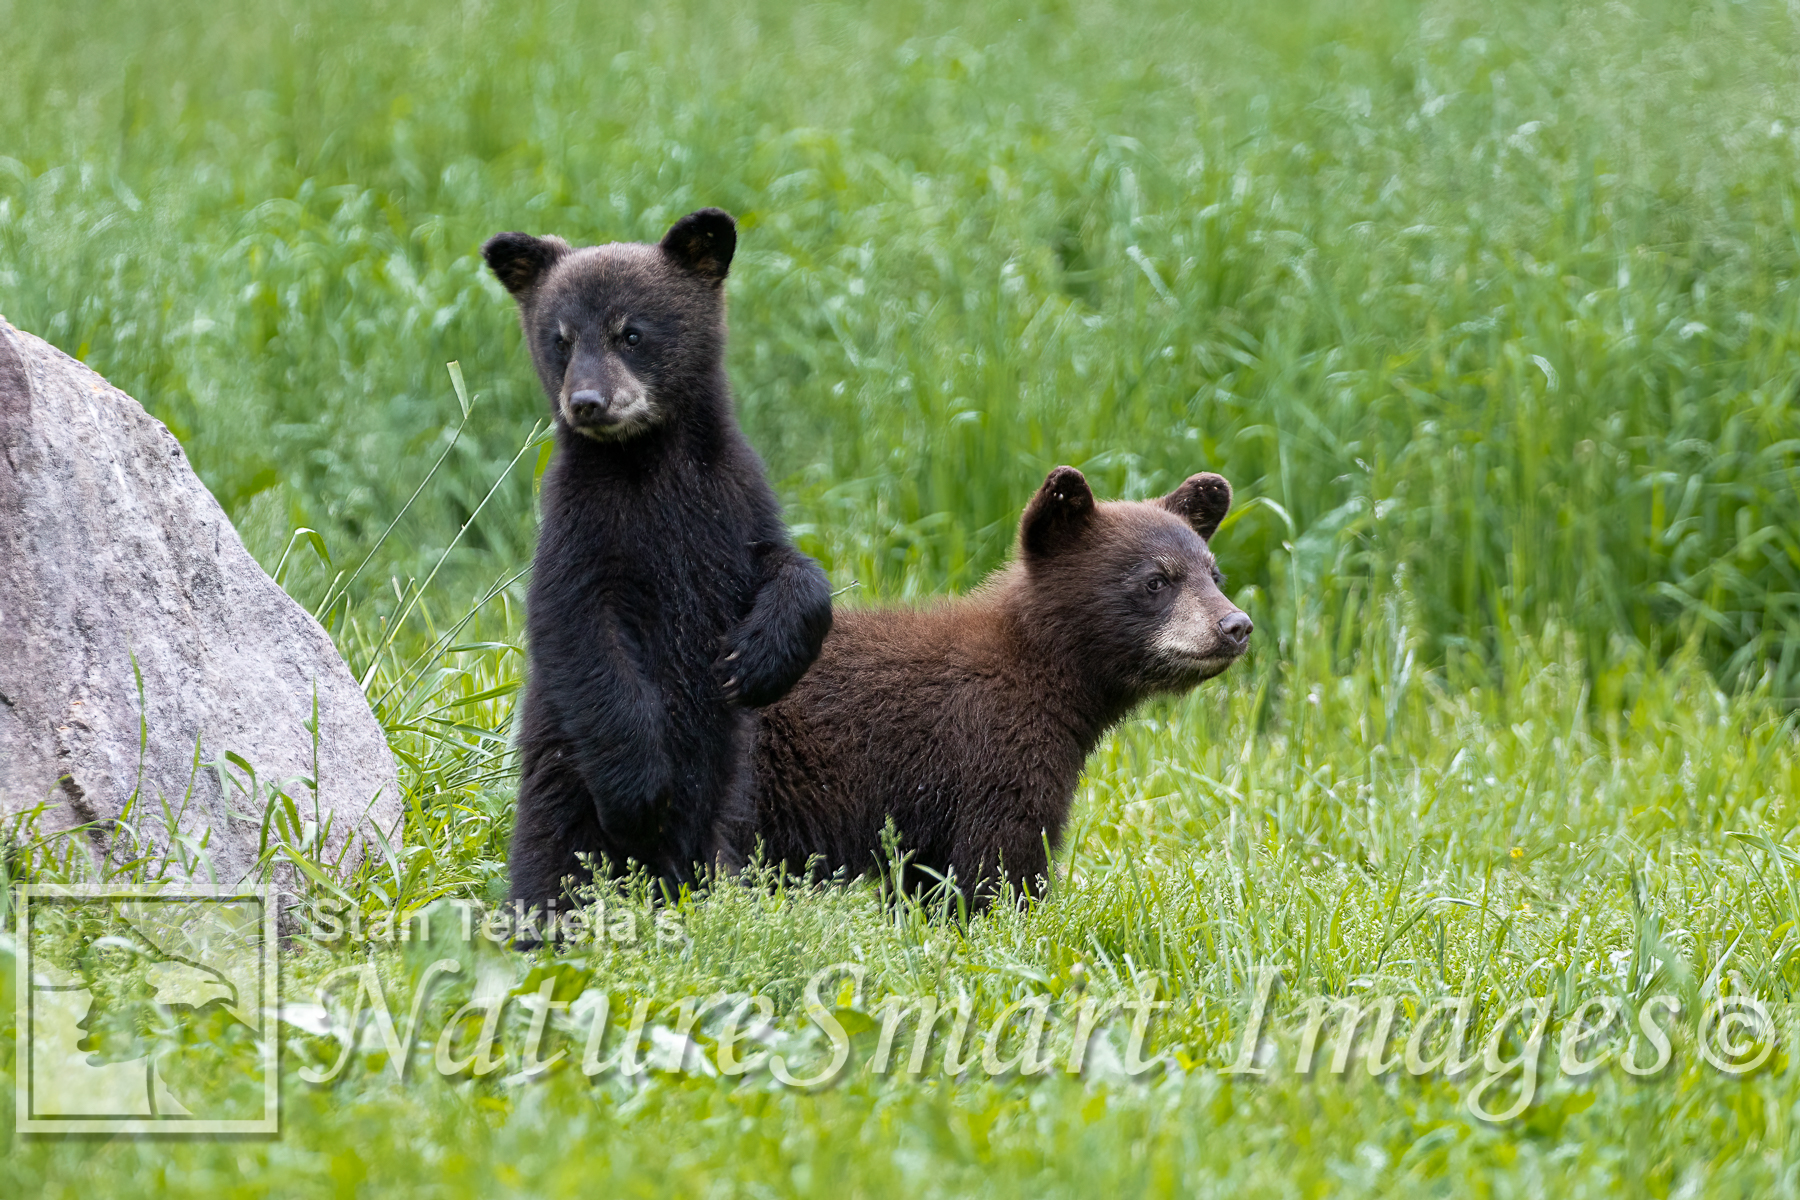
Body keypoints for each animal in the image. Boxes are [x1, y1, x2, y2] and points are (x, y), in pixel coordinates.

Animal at [482, 207, 833, 922]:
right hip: (560, 792)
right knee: (554, 863)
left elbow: (788, 564)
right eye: (560, 339)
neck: (649, 464)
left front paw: (760, 658)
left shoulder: (734, 501)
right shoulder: (582, 528)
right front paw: (639, 789)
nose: (588, 401)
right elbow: (581, 632)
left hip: (725, 812)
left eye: (632, 332)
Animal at [744, 465, 1251, 909]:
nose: (1236, 625)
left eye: (1215, 575)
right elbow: (999, 861)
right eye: (1156, 580)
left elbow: (928, 883)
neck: (1036, 667)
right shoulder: (995, 757)